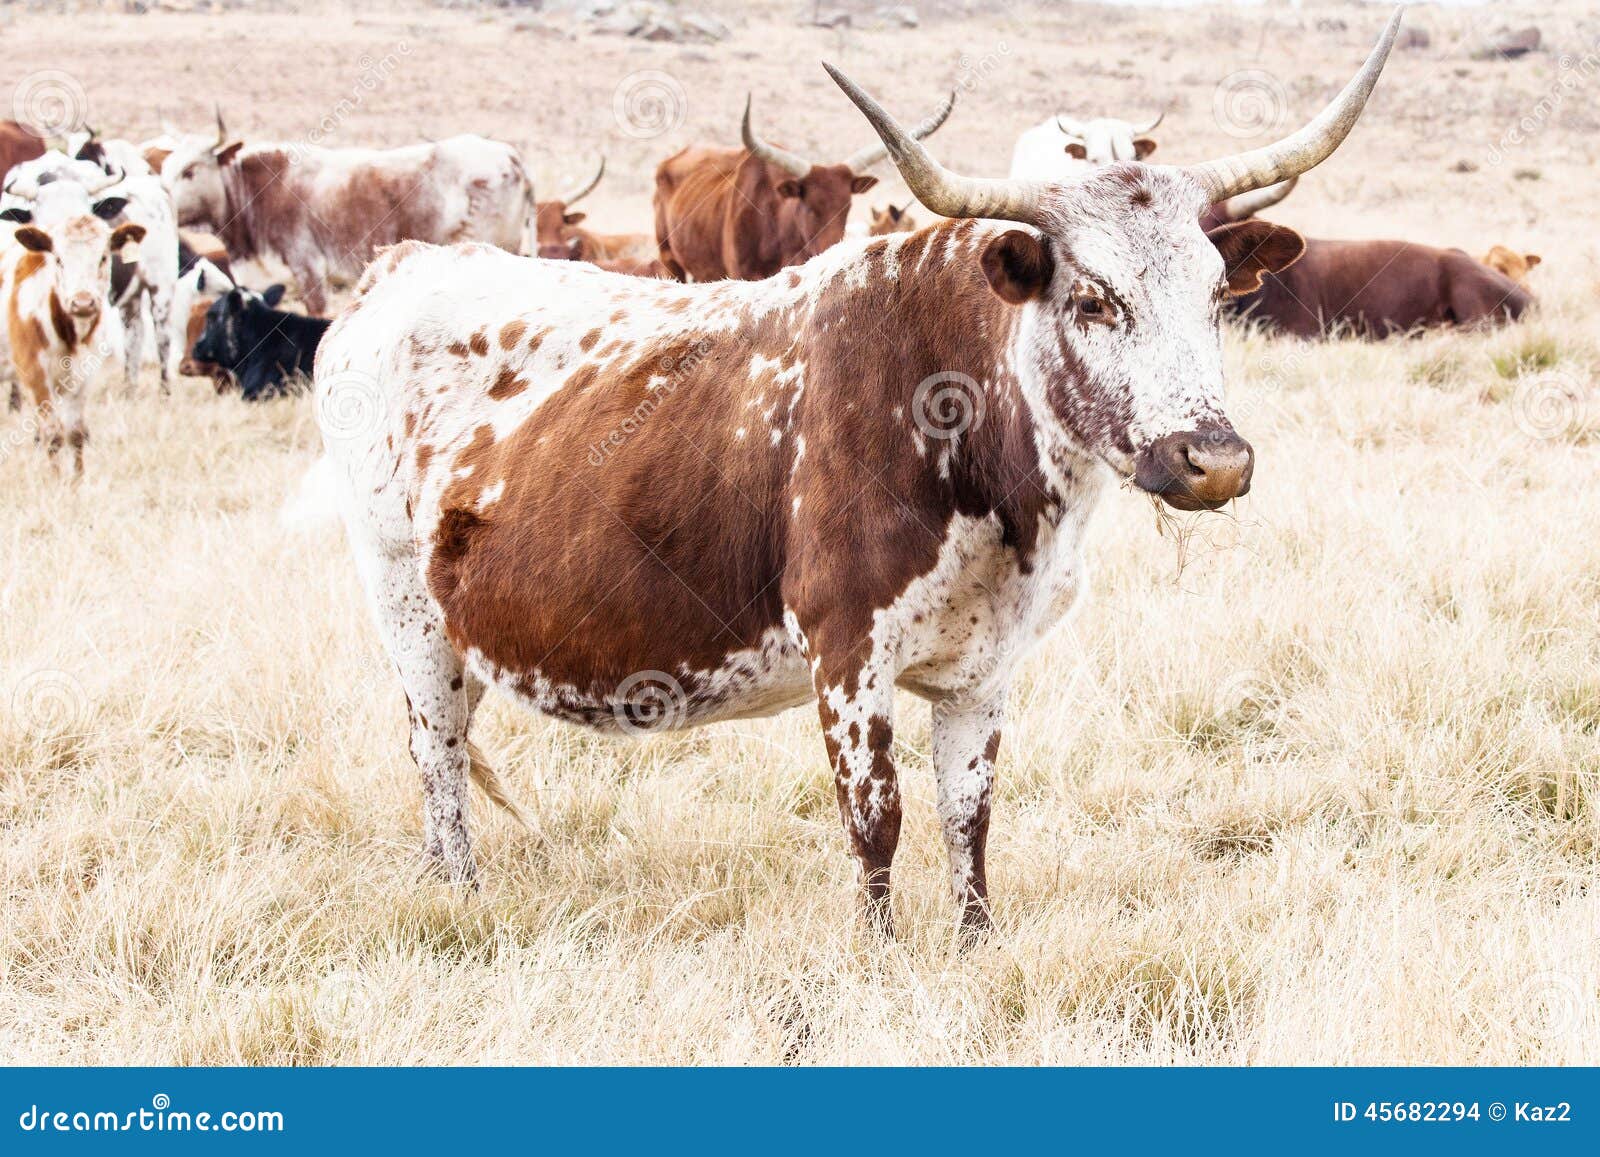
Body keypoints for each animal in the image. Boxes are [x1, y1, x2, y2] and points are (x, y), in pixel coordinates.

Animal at [1, 175, 146, 474]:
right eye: (58, 259)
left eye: (103, 257)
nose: (82, 303)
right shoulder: (35, 375)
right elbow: (52, 434)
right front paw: (56, 480)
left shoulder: (81, 377)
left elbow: (76, 433)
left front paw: (77, 480)